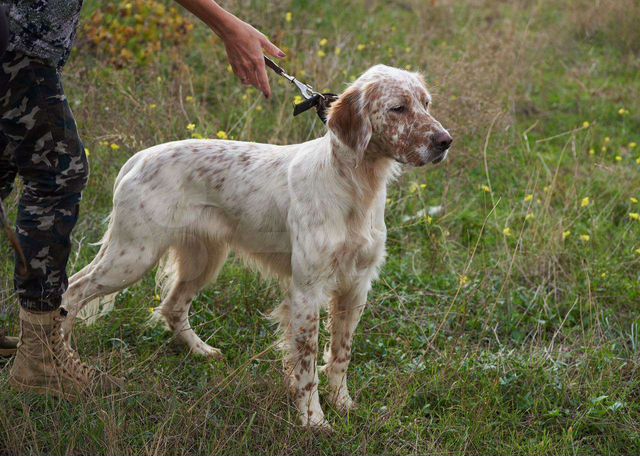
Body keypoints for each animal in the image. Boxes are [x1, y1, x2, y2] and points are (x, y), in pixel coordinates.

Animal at [60, 63, 450, 428]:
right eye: (398, 108)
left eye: (426, 103)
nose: (445, 141)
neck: (355, 186)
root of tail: (139, 158)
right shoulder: (307, 291)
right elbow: (307, 366)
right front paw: (313, 419)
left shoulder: (355, 287)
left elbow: (341, 354)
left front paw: (343, 404)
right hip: (132, 255)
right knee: (72, 293)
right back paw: (65, 362)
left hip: (204, 259)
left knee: (172, 306)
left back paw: (201, 351)